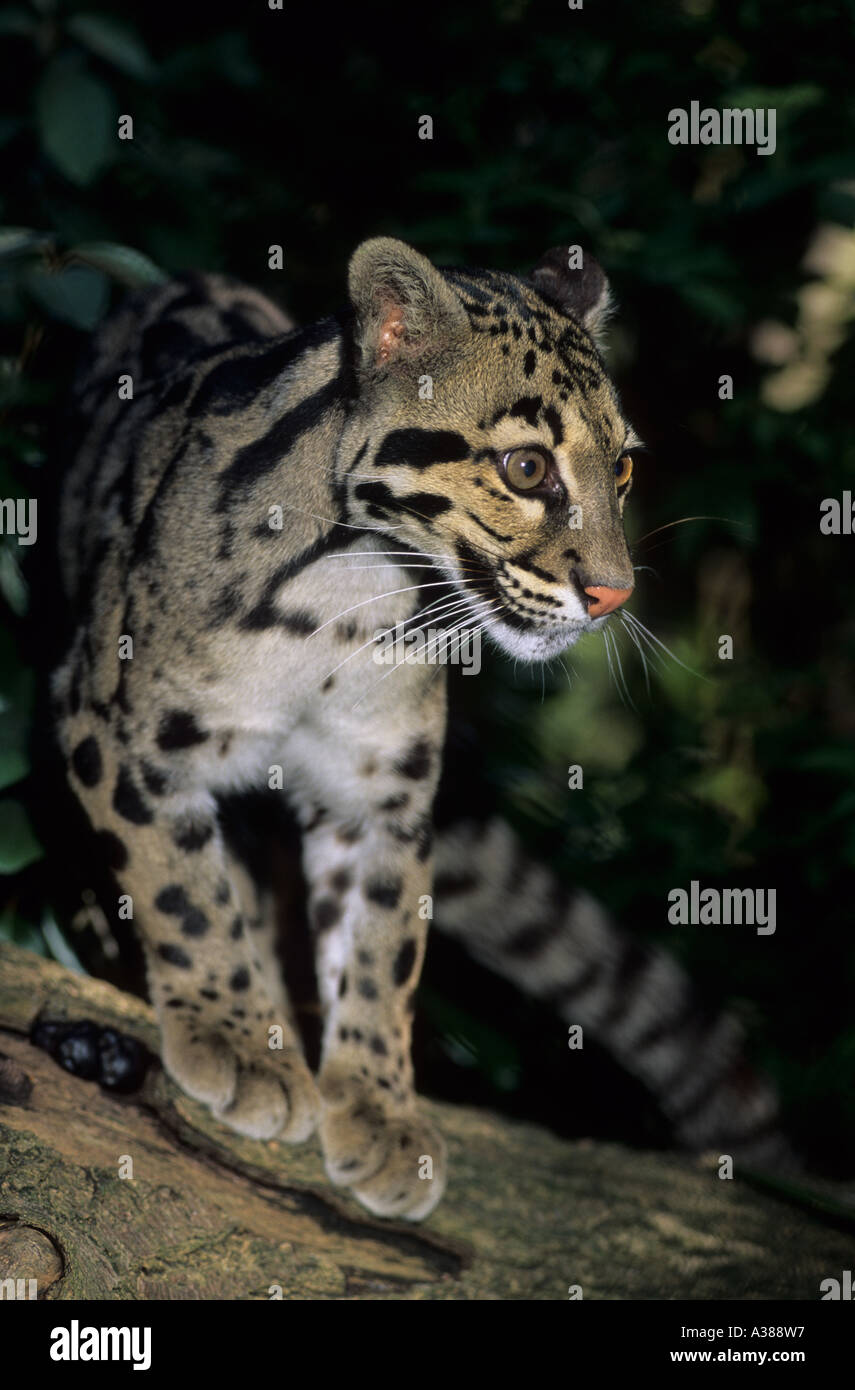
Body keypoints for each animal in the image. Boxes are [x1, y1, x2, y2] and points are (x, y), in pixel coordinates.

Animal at [51, 238, 784, 1220]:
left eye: (623, 468)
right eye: (525, 468)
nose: (613, 595)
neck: (343, 592)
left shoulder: (382, 790)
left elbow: (384, 947)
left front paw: (378, 1108)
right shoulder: (115, 730)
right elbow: (183, 892)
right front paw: (237, 1039)